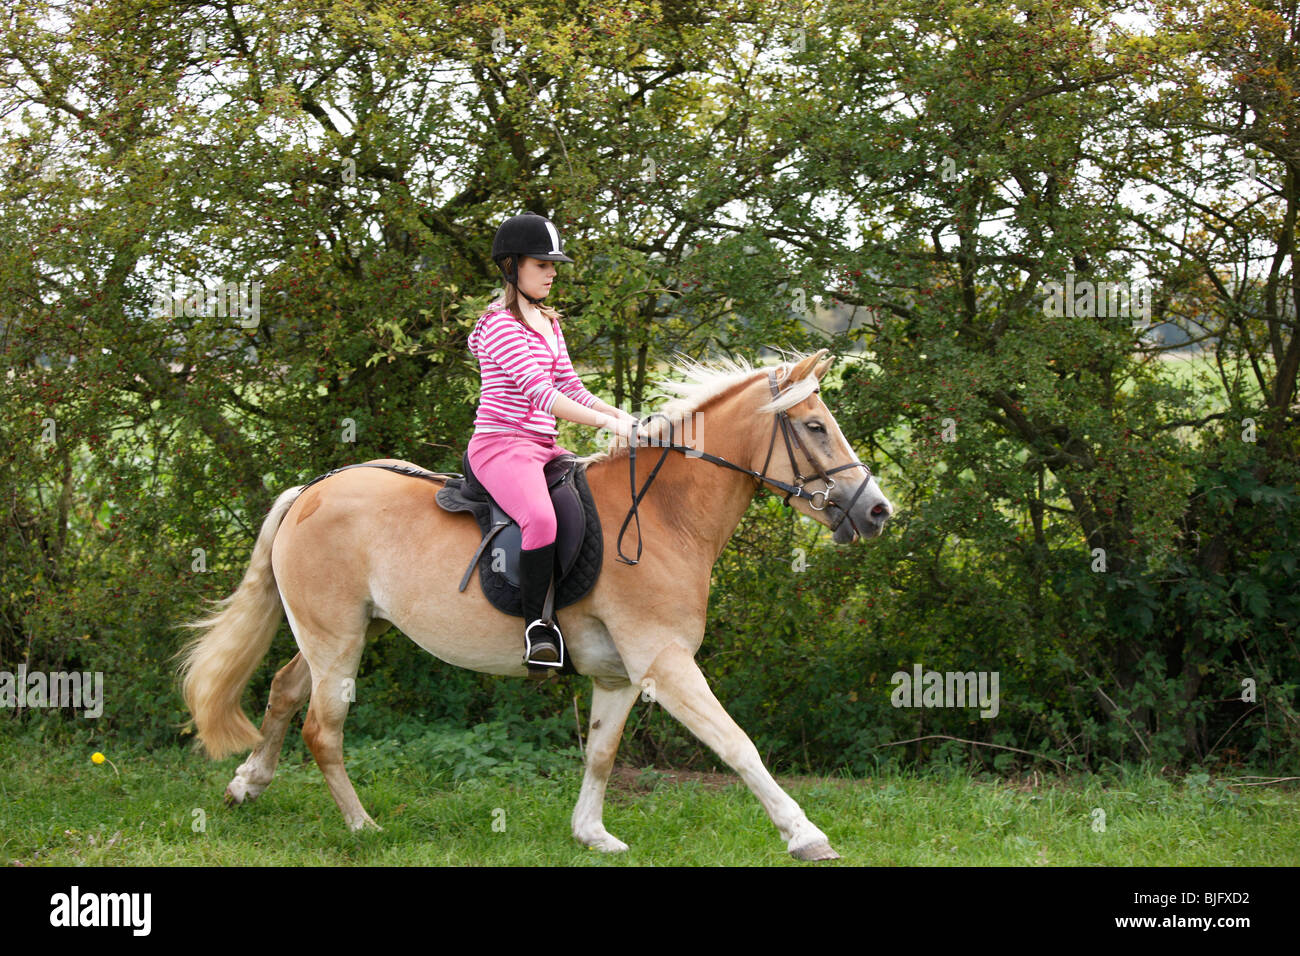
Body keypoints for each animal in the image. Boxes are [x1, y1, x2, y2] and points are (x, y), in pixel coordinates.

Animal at [177, 347, 893, 861]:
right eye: (814, 427)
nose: (878, 512)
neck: (665, 516)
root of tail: (311, 490)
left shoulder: (621, 673)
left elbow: (601, 751)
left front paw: (592, 834)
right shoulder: (664, 663)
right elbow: (739, 745)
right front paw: (805, 835)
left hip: (348, 633)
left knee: (282, 690)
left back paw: (246, 785)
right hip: (337, 642)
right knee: (322, 730)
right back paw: (362, 826)